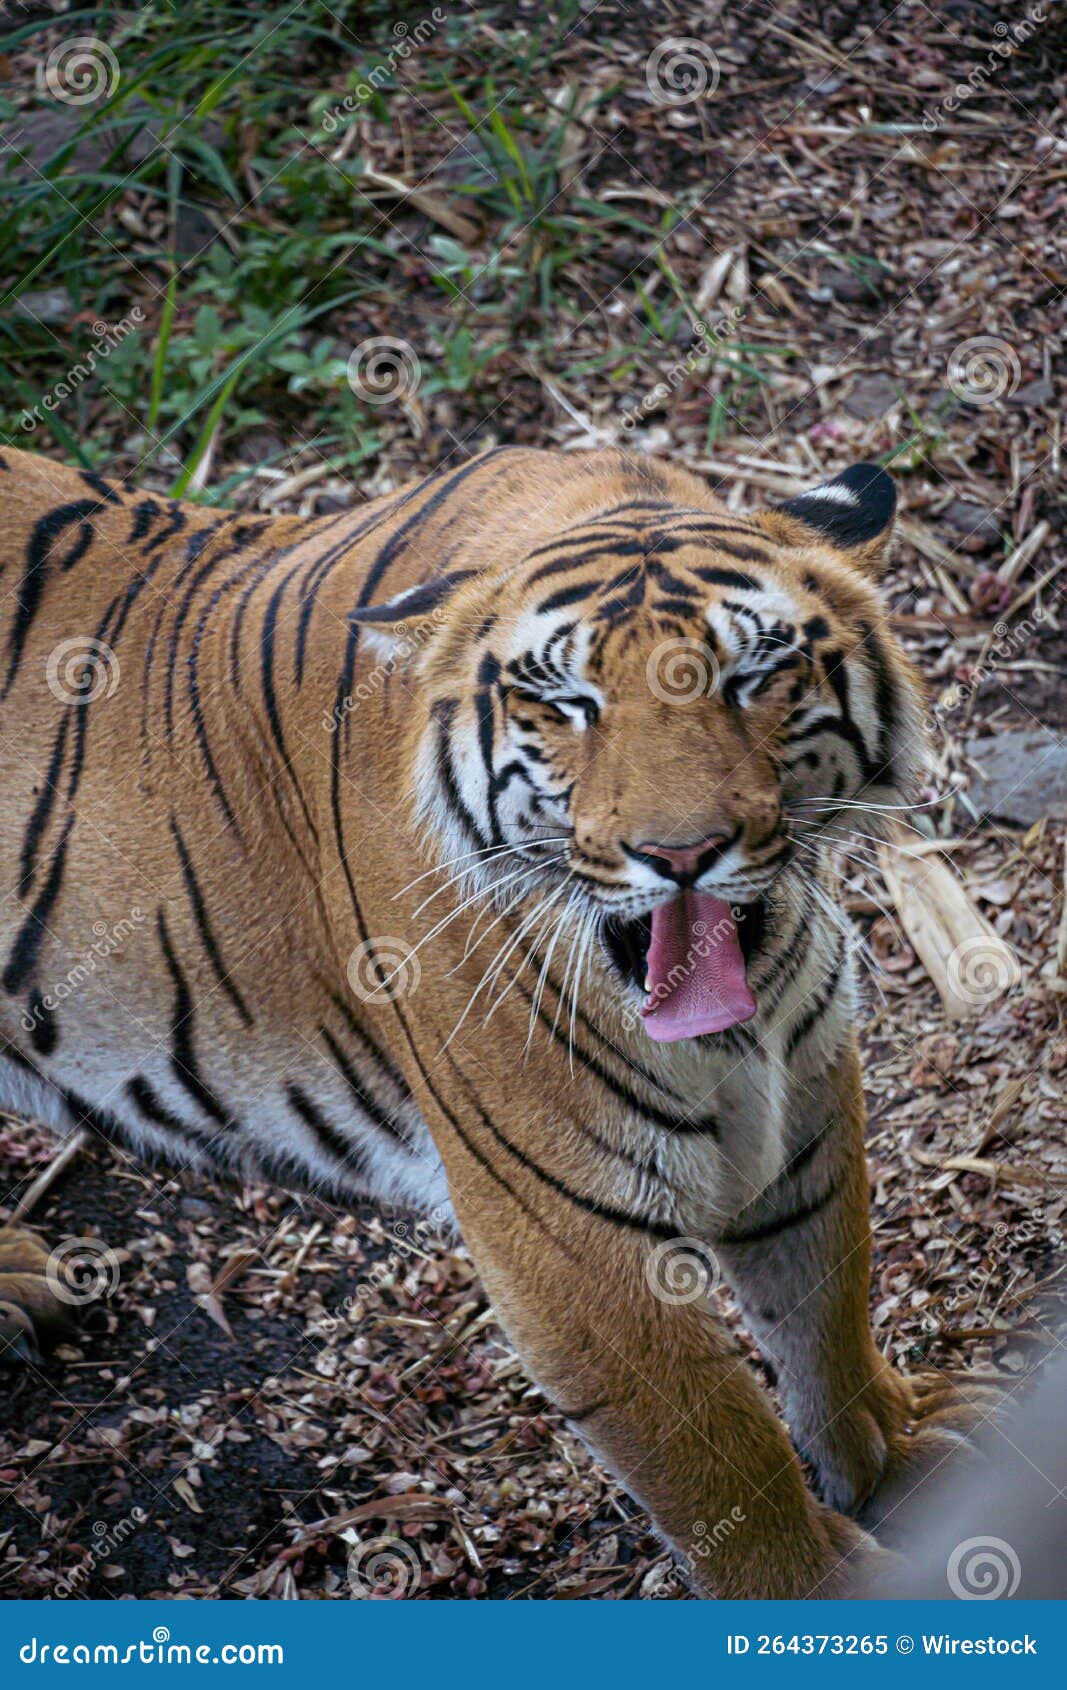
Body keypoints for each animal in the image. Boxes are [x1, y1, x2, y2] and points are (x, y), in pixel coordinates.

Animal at [0, 441, 999, 1599]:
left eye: (751, 677)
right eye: (566, 703)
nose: (680, 853)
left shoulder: (804, 1109)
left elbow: (822, 1308)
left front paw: (901, 1447)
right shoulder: (565, 1233)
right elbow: (721, 1456)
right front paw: (811, 1586)